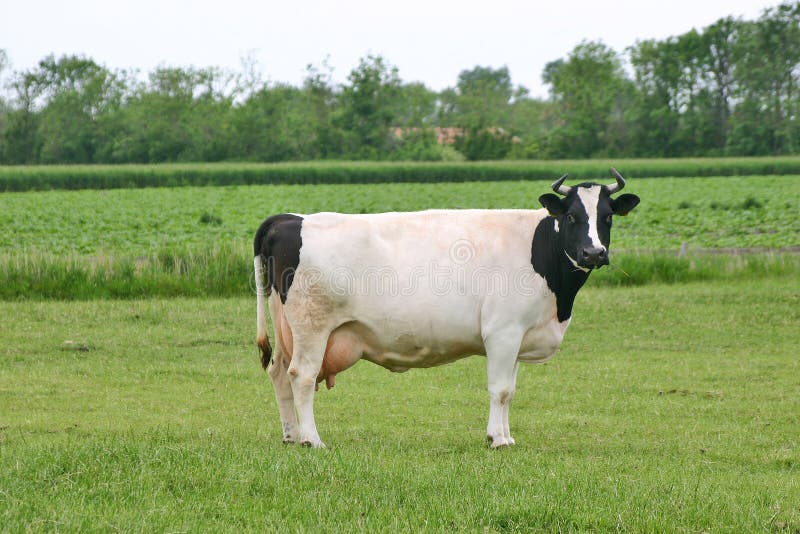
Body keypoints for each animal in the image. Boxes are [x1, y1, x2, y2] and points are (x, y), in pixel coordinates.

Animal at [253, 169, 640, 448]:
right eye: (572, 216)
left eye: (607, 216)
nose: (593, 253)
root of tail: (290, 218)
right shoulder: (502, 331)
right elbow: (500, 389)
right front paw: (498, 440)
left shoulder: (517, 336)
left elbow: (510, 390)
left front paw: (505, 434)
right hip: (311, 327)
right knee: (301, 376)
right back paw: (312, 439)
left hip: (286, 328)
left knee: (279, 373)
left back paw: (291, 435)